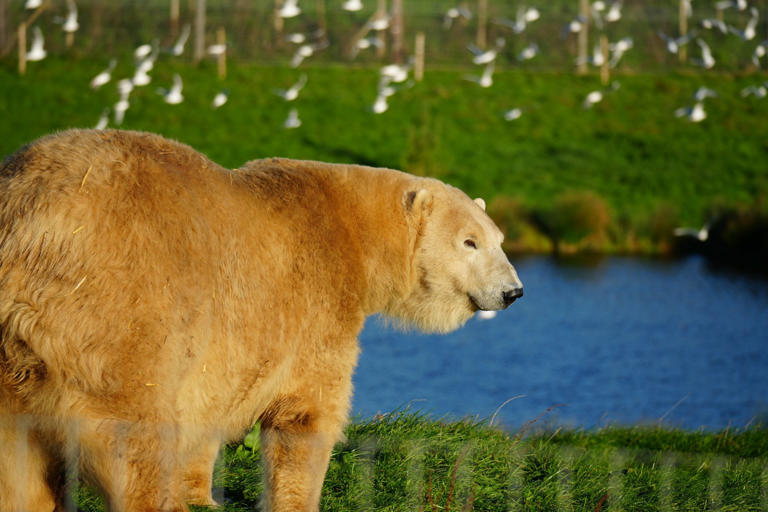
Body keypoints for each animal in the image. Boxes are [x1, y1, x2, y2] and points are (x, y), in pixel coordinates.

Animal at [0, 129, 523, 512]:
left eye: (498, 238)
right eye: (469, 242)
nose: (513, 291)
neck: (353, 229)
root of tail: (28, 227)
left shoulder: (228, 352)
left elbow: (212, 412)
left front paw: (203, 495)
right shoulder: (317, 300)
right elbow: (307, 413)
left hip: (18, 364)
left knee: (18, 467)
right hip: (117, 321)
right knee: (135, 436)